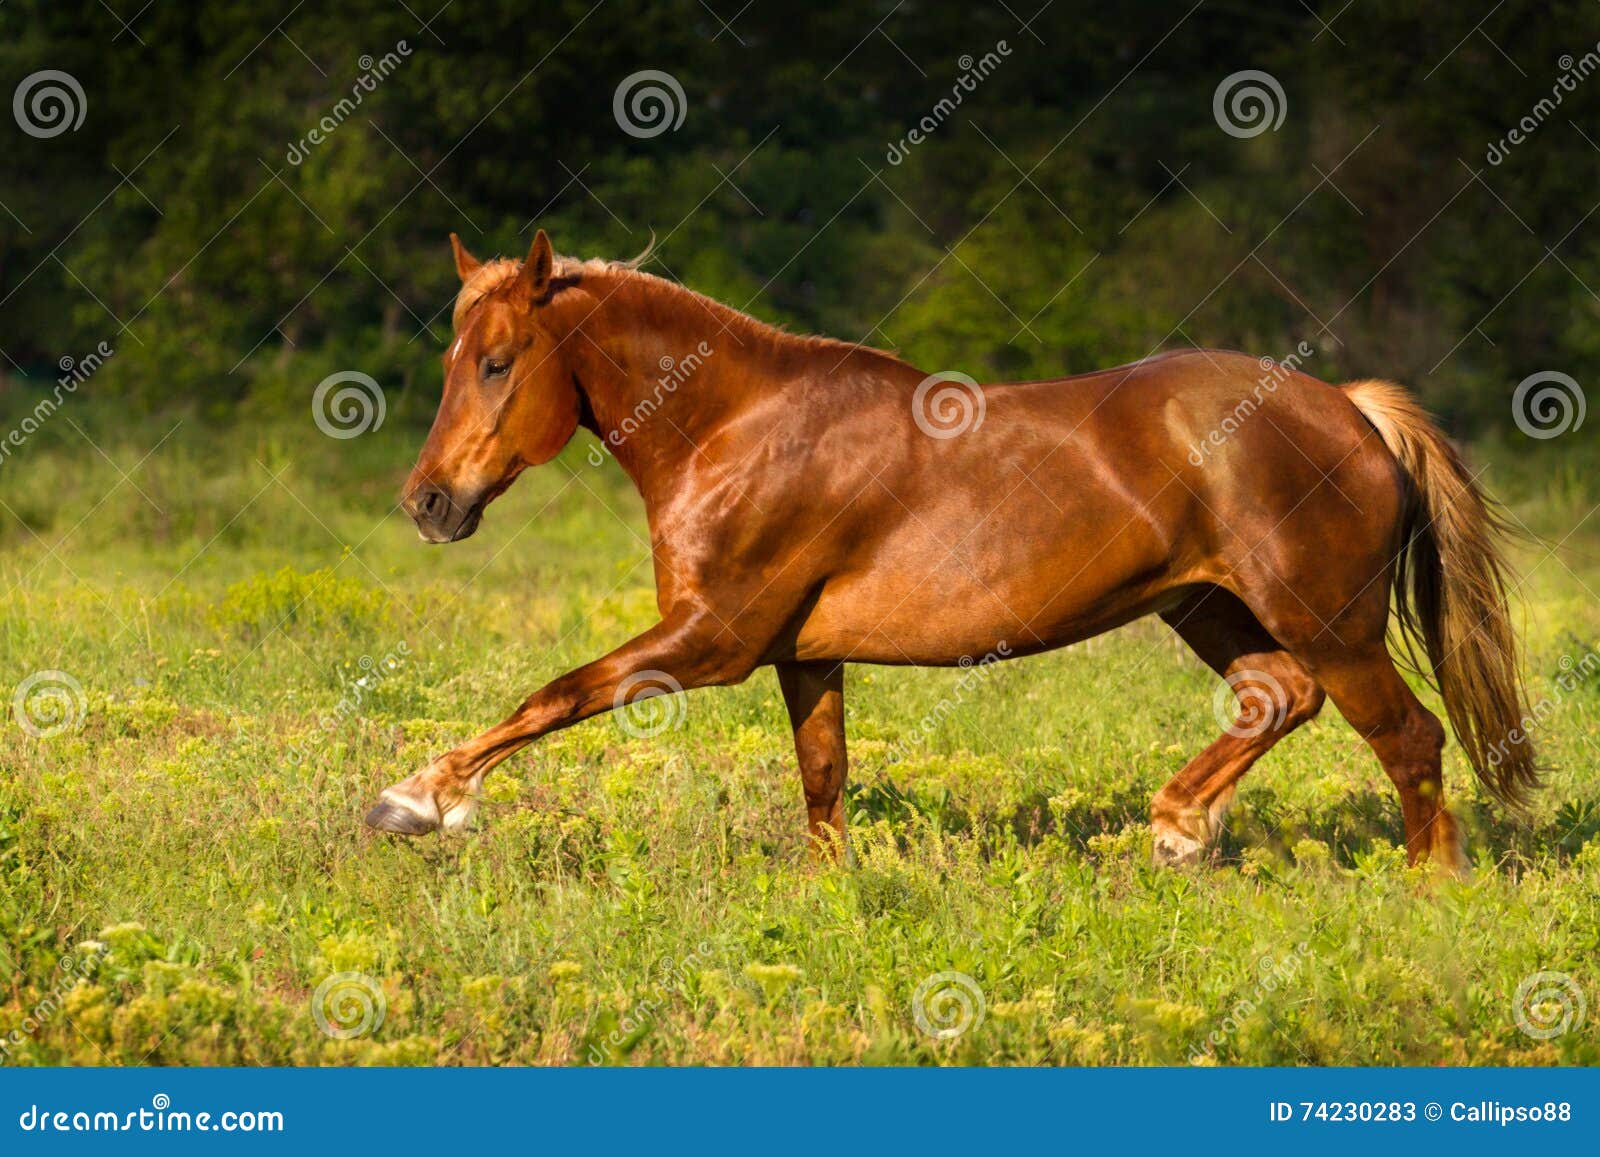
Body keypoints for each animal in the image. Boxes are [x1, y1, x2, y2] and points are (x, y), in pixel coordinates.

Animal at [364, 229, 1537, 873]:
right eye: (453, 355)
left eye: (500, 360)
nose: (428, 503)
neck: (734, 425)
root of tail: (1346, 405)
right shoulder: (802, 653)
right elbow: (824, 779)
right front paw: (827, 896)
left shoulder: (712, 640)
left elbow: (553, 694)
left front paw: (415, 800)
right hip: (1211, 606)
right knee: (1278, 695)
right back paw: (1175, 828)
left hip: (1327, 618)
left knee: (1407, 737)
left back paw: (1429, 891)